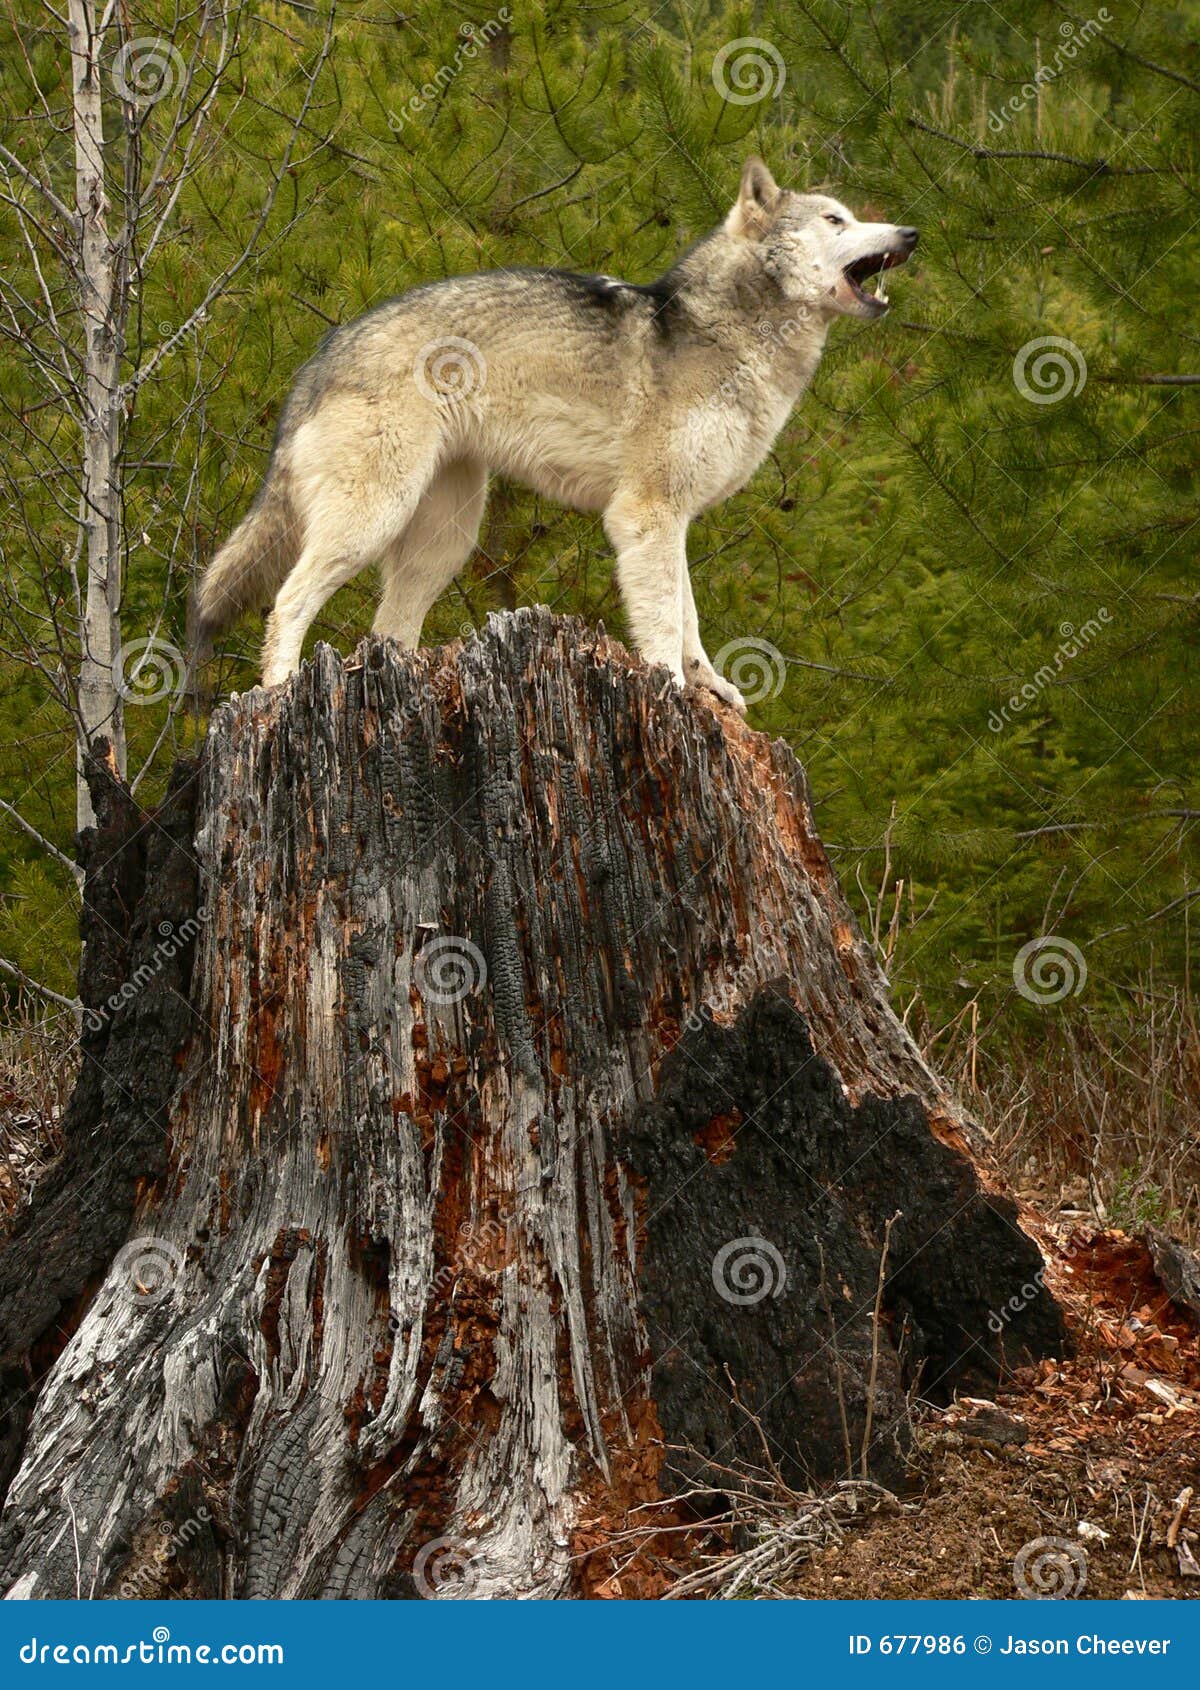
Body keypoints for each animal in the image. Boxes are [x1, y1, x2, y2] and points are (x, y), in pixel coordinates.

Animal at [194, 159, 917, 710]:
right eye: (836, 220)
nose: (911, 233)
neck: (727, 333)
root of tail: (321, 356)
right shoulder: (644, 515)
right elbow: (664, 625)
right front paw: (671, 689)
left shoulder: (674, 519)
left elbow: (690, 620)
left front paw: (708, 687)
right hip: (372, 521)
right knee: (286, 602)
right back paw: (279, 688)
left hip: (443, 541)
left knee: (387, 630)